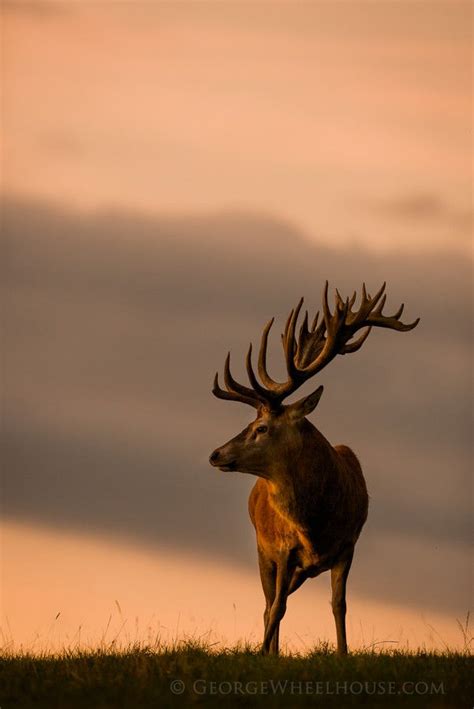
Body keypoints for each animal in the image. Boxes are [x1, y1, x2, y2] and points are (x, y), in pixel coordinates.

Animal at [209, 282, 419, 655]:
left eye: (261, 427)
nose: (216, 454)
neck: (315, 524)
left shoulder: (348, 544)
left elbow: (339, 604)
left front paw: (343, 653)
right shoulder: (282, 548)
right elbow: (277, 606)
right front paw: (262, 653)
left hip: (300, 567)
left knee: (274, 602)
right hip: (262, 549)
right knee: (269, 603)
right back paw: (271, 650)